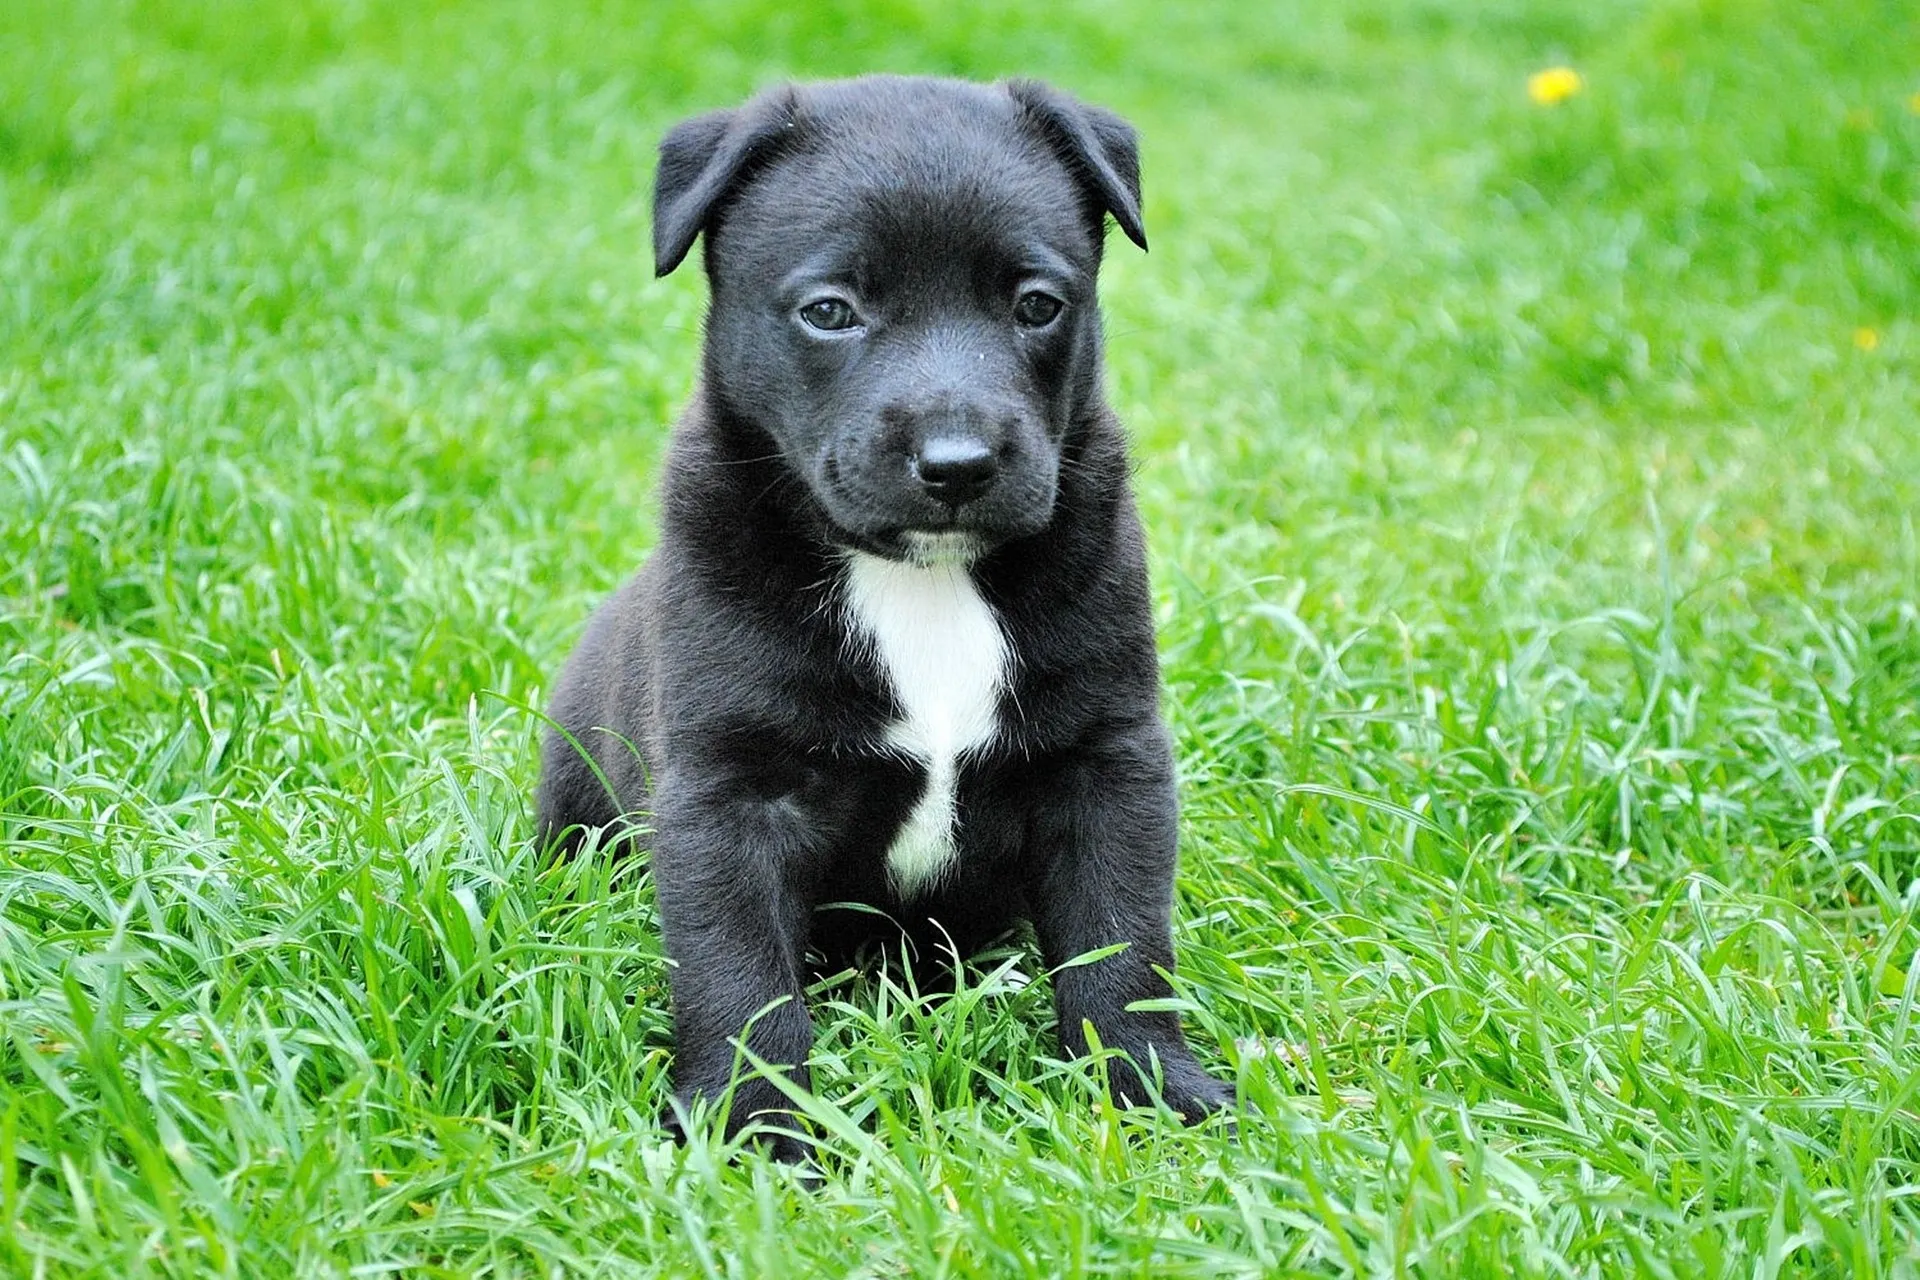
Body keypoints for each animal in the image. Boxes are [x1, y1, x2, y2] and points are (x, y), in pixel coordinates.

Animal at [541, 75, 1228, 1159]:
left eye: (1037, 305)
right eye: (831, 312)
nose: (957, 463)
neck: (921, 578)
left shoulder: (1106, 762)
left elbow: (1122, 943)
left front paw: (1153, 1087)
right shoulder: (731, 795)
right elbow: (739, 976)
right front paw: (756, 1130)